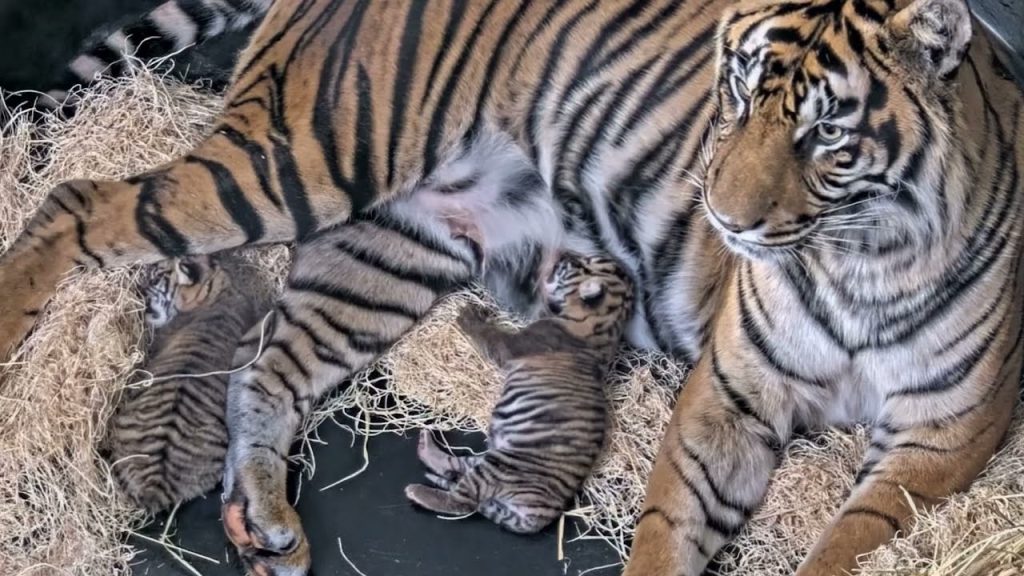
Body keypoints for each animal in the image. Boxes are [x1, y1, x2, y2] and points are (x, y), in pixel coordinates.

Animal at [405, 253, 633, 534]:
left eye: (579, 263)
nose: (563, 254)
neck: (605, 326)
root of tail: (541, 516)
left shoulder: (512, 346)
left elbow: (489, 334)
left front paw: (469, 314)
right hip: (493, 459)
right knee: (456, 467)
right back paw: (426, 447)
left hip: (503, 466)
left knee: (463, 501)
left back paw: (418, 492)